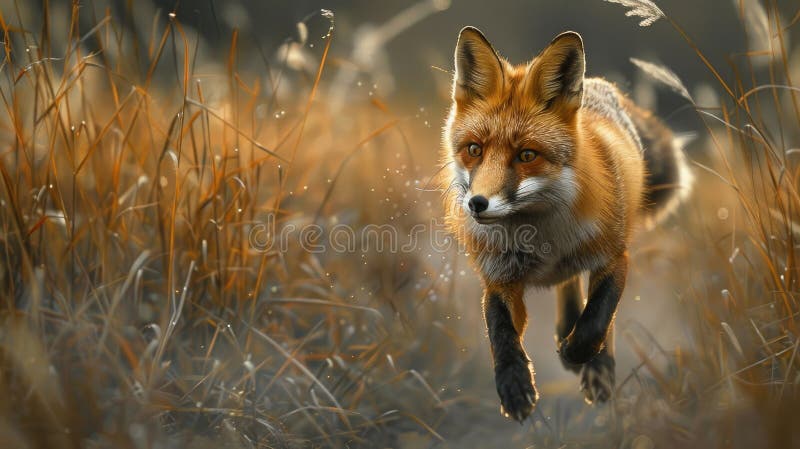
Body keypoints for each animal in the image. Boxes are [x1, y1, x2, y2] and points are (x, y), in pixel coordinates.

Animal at [441, 27, 692, 421]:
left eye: (527, 155)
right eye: (474, 149)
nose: (476, 204)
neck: (539, 236)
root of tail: (600, 85)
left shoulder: (614, 257)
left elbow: (597, 320)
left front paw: (581, 355)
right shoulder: (498, 277)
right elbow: (501, 333)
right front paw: (514, 387)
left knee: (594, 309)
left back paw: (593, 365)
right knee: (568, 285)